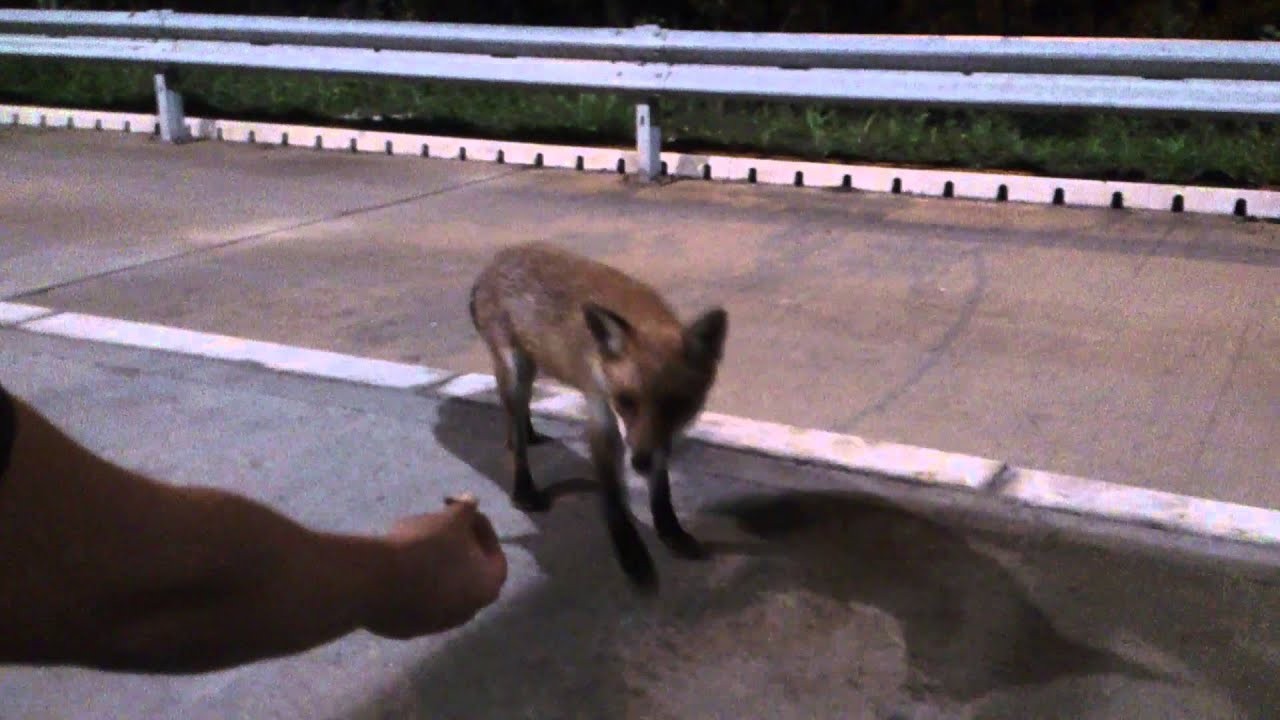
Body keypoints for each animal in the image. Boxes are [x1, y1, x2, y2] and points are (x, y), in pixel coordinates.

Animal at [469, 241, 728, 590]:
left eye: (677, 404)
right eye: (625, 401)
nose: (640, 463)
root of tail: (496, 261)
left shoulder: (660, 437)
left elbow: (661, 490)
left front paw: (671, 531)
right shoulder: (600, 412)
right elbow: (614, 500)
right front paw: (633, 556)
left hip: (531, 367)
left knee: (516, 417)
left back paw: (524, 433)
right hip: (515, 371)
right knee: (517, 442)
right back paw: (523, 489)